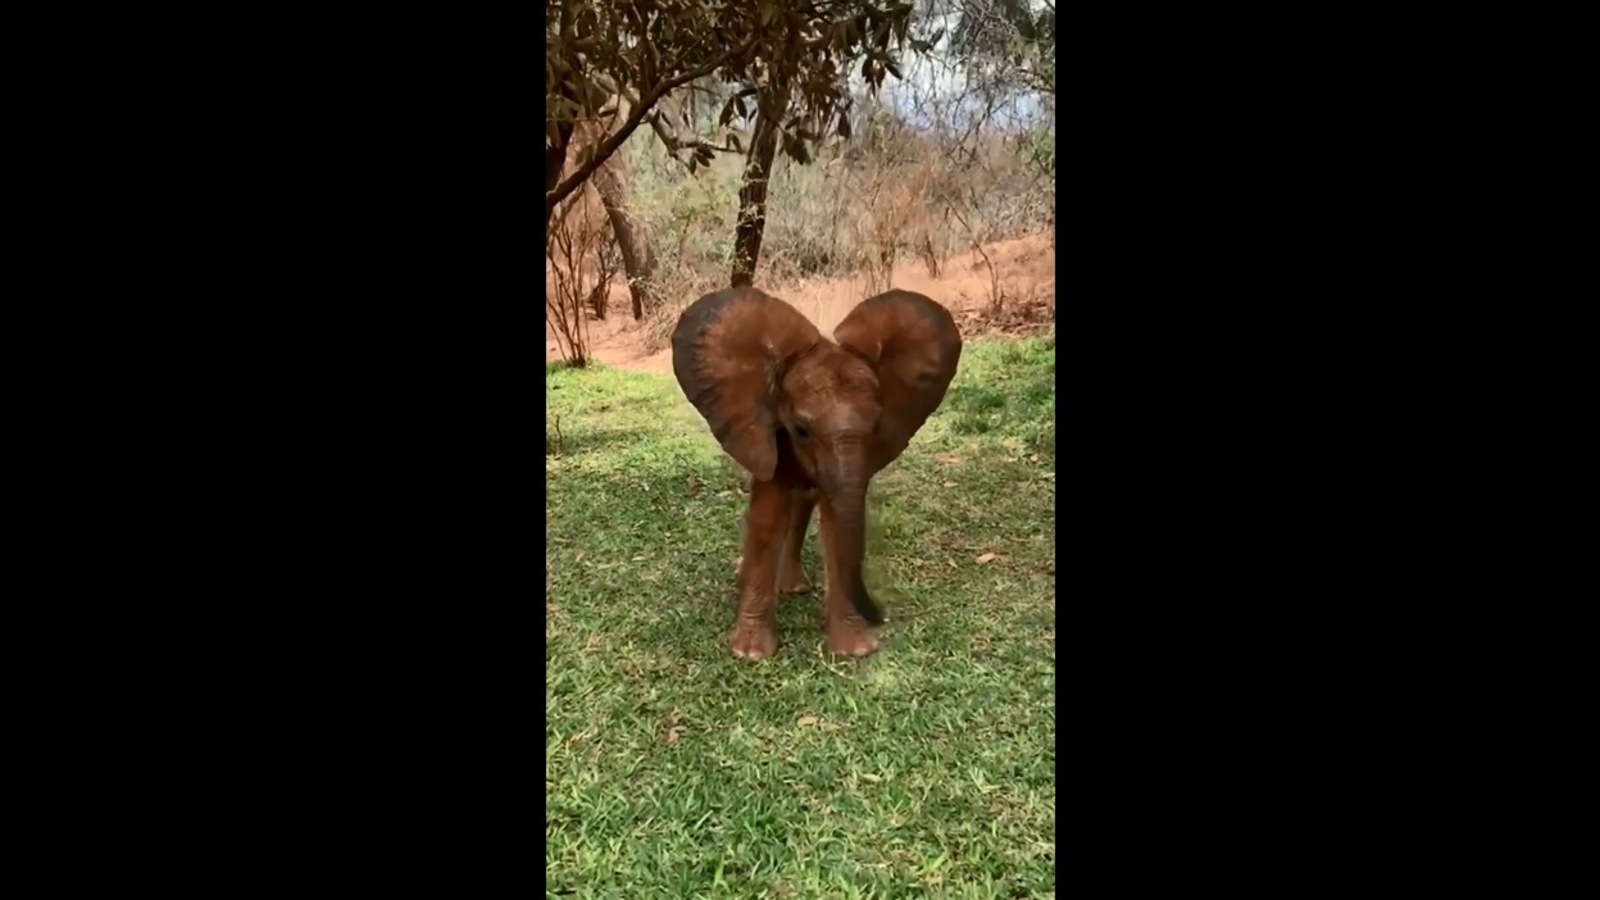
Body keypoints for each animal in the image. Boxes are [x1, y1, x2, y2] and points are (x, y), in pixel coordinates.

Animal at [671, 286, 963, 660]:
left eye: (876, 425)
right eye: (800, 430)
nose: (880, 614)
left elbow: (837, 522)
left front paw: (854, 651)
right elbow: (767, 517)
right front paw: (749, 655)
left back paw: (793, 587)